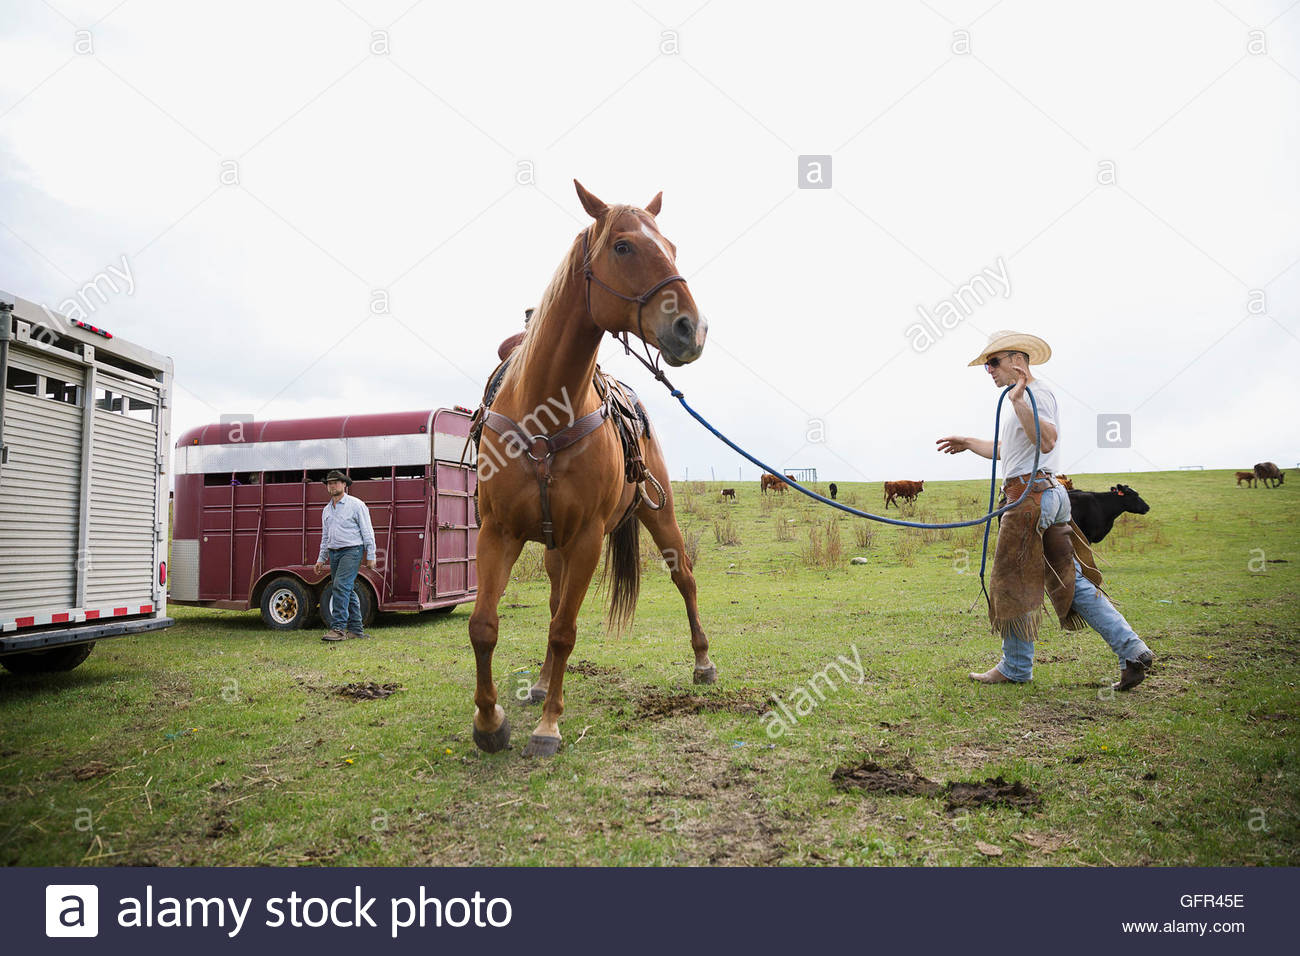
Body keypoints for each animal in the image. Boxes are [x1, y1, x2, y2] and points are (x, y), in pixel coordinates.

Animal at [468, 180, 713, 758]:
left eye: (671, 246)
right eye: (623, 246)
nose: (692, 329)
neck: (543, 412)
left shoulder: (586, 539)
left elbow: (565, 631)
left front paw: (548, 727)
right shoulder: (498, 532)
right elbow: (485, 626)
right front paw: (490, 722)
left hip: (658, 516)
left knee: (684, 578)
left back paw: (703, 661)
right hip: (551, 545)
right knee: (556, 597)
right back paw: (538, 683)